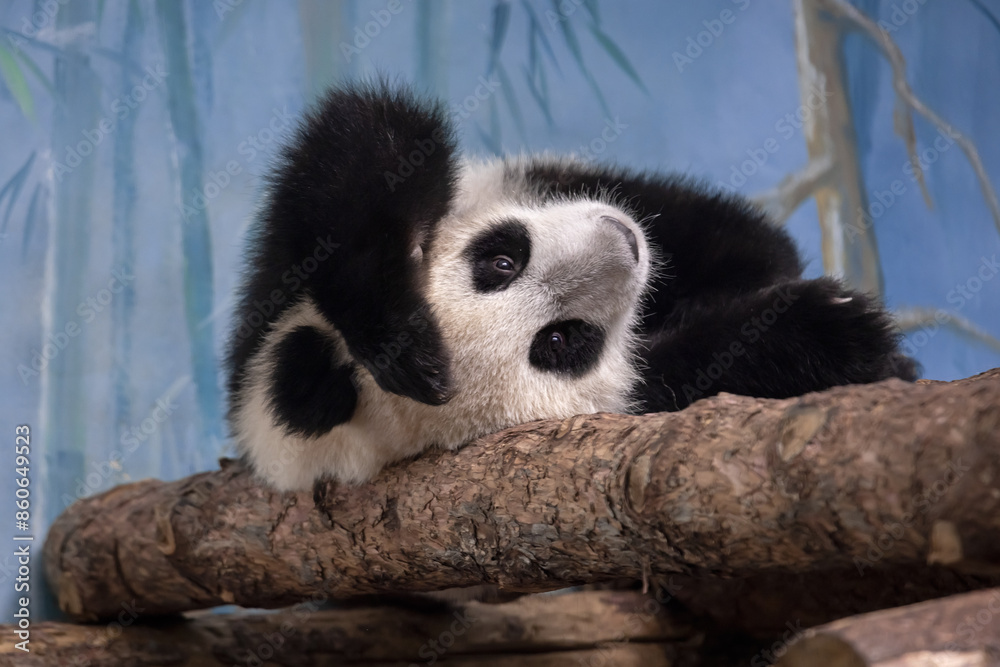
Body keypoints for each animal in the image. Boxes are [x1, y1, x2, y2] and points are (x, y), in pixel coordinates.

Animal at [226, 82, 916, 492]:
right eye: (561, 342)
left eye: (500, 262)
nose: (625, 246)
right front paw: (833, 330)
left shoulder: (265, 308)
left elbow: (363, 138)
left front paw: (397, 334)